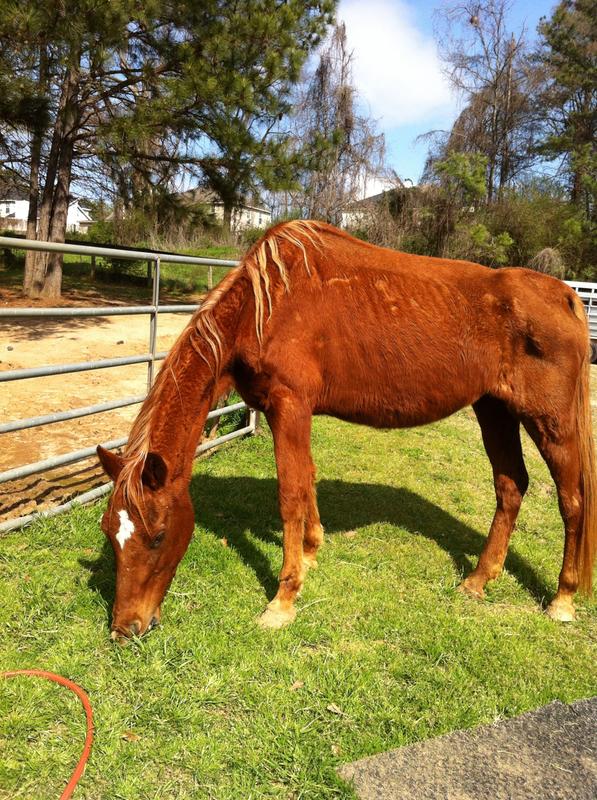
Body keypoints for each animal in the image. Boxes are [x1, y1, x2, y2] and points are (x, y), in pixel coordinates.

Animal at [97, 220, 596, 639]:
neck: (265, 306)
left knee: (572, 500)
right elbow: (308, 481)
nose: (126, 628)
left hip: (550, 423)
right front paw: (312, 552)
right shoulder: (291, 413)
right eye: (108, 532)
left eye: (157, 536)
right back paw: (477, 580)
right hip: (494, 410)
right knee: (511, 486)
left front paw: (283, 600)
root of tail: (566, 296)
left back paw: (563, 599)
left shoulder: (290, 406)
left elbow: (290, 493)